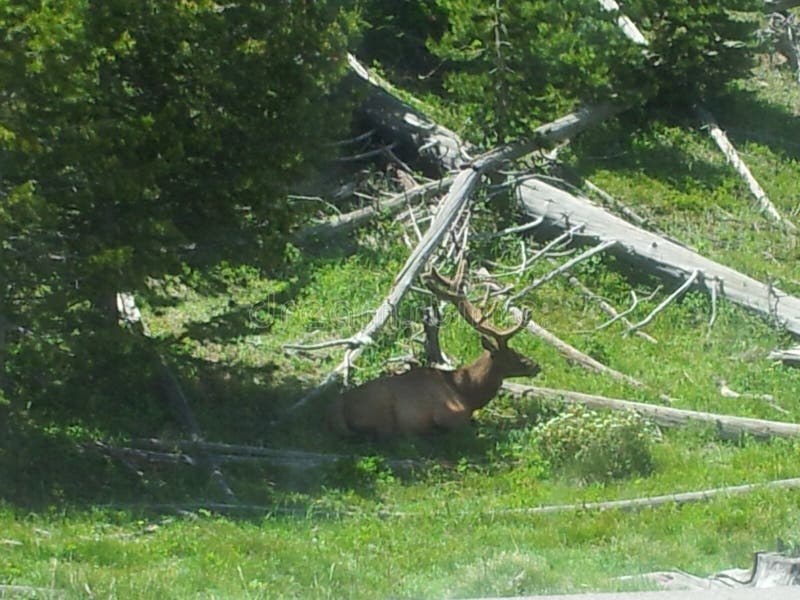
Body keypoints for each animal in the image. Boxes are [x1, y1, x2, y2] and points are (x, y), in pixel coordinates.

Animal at [326, 263, 540, 438]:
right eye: (512, 355)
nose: (536, 365)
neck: (467, 393)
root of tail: (336, 409)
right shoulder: (449, 415)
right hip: (381, 406)